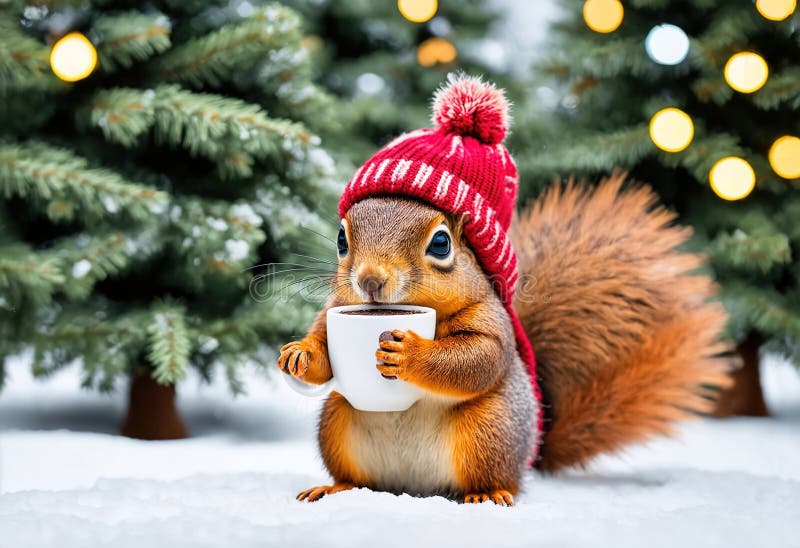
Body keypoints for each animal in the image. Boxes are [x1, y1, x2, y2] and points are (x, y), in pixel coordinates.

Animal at [277, 75, 732, 506]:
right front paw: (300, 354)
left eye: (441, 244)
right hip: (338, 421)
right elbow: (322, 341)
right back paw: (335, 488)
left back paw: (487, 493)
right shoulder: (336, 307)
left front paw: (411, 353)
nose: (370, 281)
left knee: (493, 474)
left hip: (488, 428)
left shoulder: (491, 319)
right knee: (357, 477)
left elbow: (479, 358)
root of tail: (413, 487)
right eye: (341, 239)